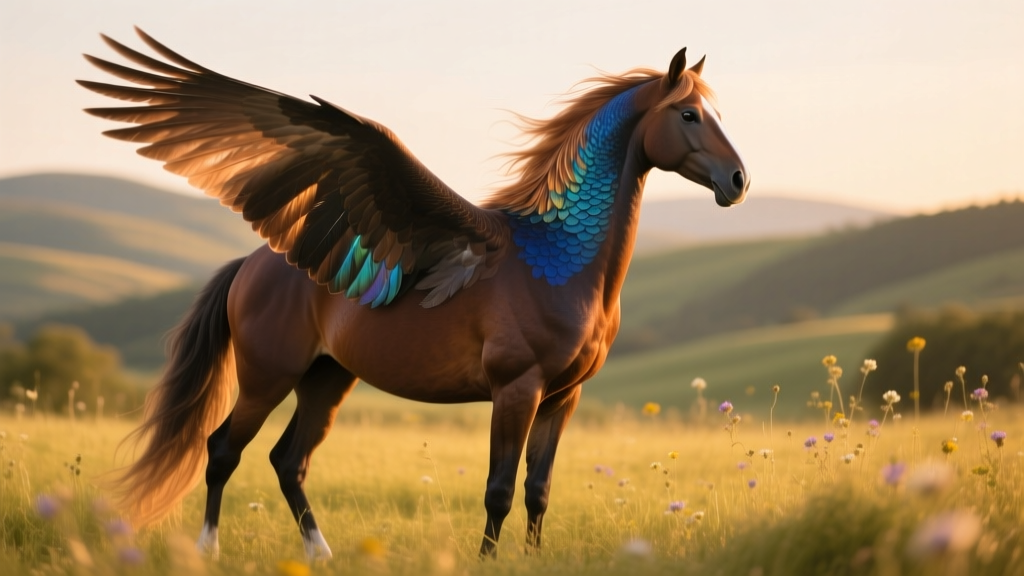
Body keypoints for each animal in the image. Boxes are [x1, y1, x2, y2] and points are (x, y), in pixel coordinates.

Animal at [79, 28, 748, 560]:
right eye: (689, 116)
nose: (738, 180)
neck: (562, 265)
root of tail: (253, 264)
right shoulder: (517, 389)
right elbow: (499, 490)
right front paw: (487, 562)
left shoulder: (564, 397)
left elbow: (538, 490)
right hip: (267, 376)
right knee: (222, 450)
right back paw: (208, 550)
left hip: (326, 380)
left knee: (288, 462)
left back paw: (321, 554)